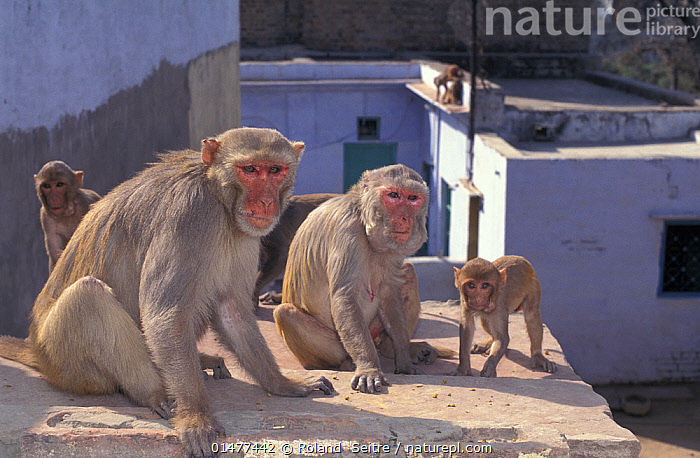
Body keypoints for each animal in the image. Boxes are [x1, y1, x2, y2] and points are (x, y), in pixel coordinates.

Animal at [0, 127, 333, 458]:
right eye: (249, 170)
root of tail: (38, 351)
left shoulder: (246, 233)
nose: (265, 202)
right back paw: (156, 393)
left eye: (275, 170)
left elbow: (231, 312)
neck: (217, 196)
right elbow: (166, 317)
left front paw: (282, 382)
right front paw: (195, 416)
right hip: (67, 364)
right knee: (88, 296)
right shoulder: (189, 215)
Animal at [273, 164, 443, 394]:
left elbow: (389, 293)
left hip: (371, 329)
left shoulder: (393, 247)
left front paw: (404, 361)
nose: (405, 218)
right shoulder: (347, 229)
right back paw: (344, 364)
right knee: (284, 313)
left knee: (407, 273)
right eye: (393, 195)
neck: (365, 224)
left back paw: (389, 348)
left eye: (412, 198)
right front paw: (369, 368)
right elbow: (345, 297)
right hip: (339, 341)